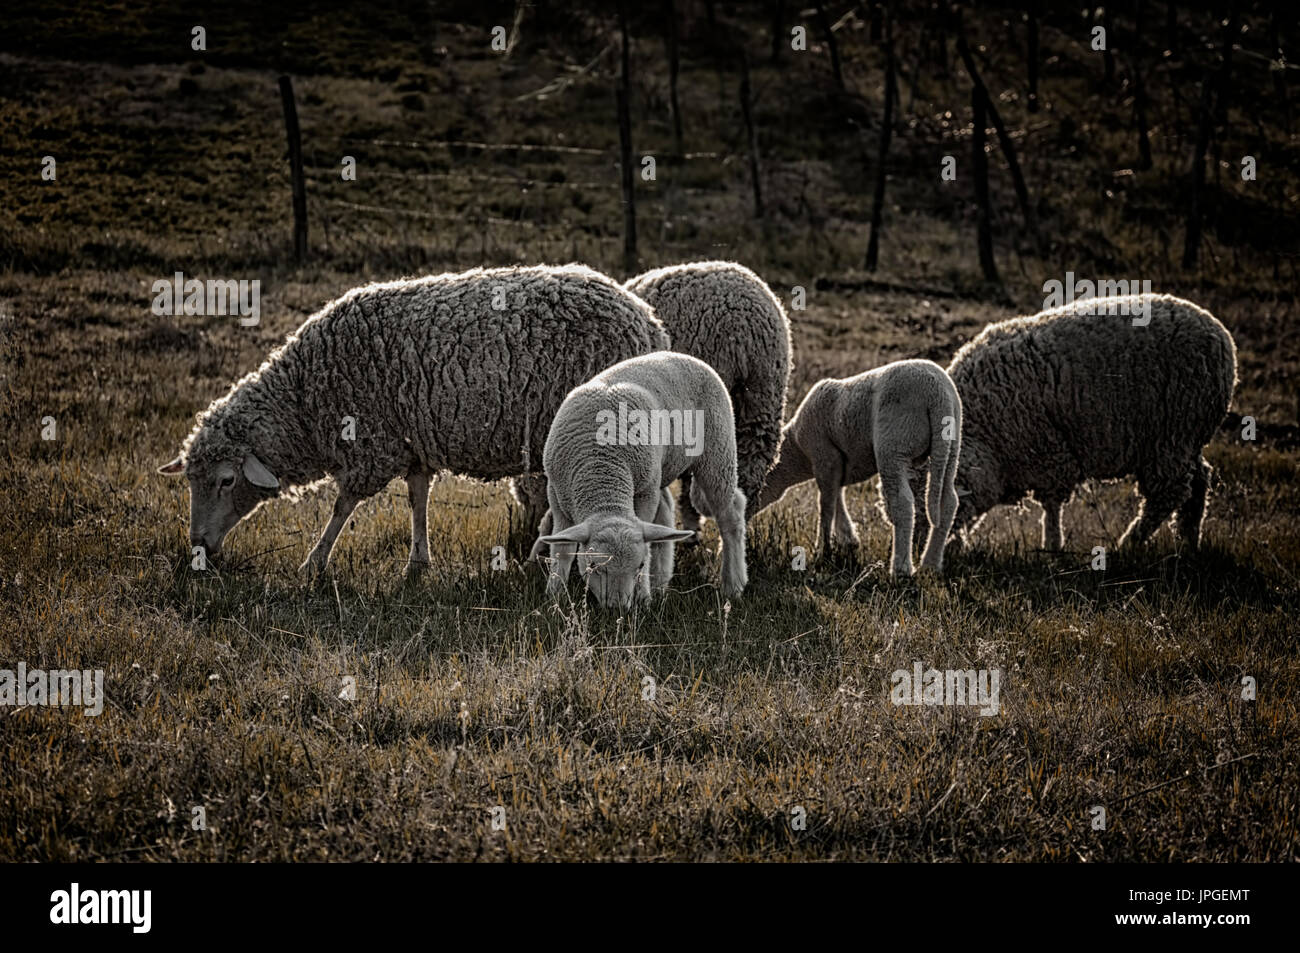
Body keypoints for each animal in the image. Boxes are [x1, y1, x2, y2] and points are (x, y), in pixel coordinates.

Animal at [157, 264, 670, 574]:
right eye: (192, 481)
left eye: (226, 481)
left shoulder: (371, 444)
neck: (304, 397)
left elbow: (343, 505)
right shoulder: (411, 442)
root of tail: (648, 322)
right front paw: (418, 562)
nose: (198, 546)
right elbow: (418, 499)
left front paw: (315, 561)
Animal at [539, 351, 748, 609]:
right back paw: (661, 583)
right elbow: (562, 549)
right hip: (663, 467)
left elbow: (646, 546)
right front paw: (555, 595)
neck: (600, 467)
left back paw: (733, 584)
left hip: (717, 452)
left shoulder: (644, 493)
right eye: (593, 565)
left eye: (638, 566)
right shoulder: (558, 499)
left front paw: (643, 595)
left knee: (731, 514)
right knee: (666, 512)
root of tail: (683, 355)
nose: (617, 608)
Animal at [753, 359, 962, 576]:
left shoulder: (824, 456)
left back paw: (900, 568)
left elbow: (826, 505)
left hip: (895, 443)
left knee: (902, 502)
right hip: (950, 446)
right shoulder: (838, 464)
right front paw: (847, 539)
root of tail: (938, 394)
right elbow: (837, 496)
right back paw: (931, 564)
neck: (798, 451)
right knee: (948, 501)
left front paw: (822, 551)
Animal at [924, 293, 1237, 551]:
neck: (982, 433)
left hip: (1172, 435)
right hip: (1187, 439)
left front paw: (1051, 547)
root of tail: (1222, 337)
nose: (920, 553)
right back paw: (1188, 542)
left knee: (1169, 492)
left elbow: (1051, 507)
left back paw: (1129, 543)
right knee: (1199, 482)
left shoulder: (1047, 453)